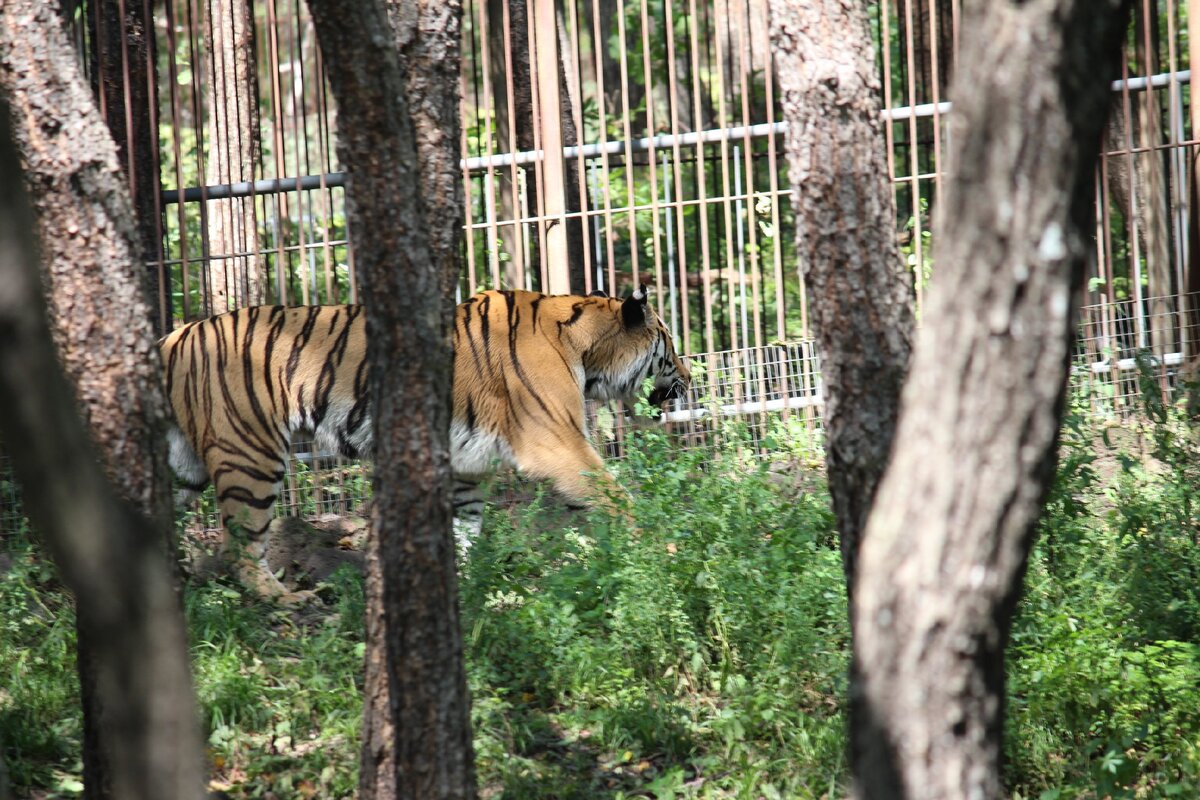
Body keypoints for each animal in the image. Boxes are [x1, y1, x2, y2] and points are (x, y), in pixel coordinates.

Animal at [160, 284, 691, 604]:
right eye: (669, 343)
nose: (688, 377)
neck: (584, 345)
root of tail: (177, 335)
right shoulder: (557, 442)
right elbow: (616, 496)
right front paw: (663, 547)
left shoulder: (466, 468)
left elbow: (466, 530)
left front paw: (468, 585)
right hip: (250, 455)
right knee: (241, 547)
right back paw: (288, 599)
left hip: (184, 466)